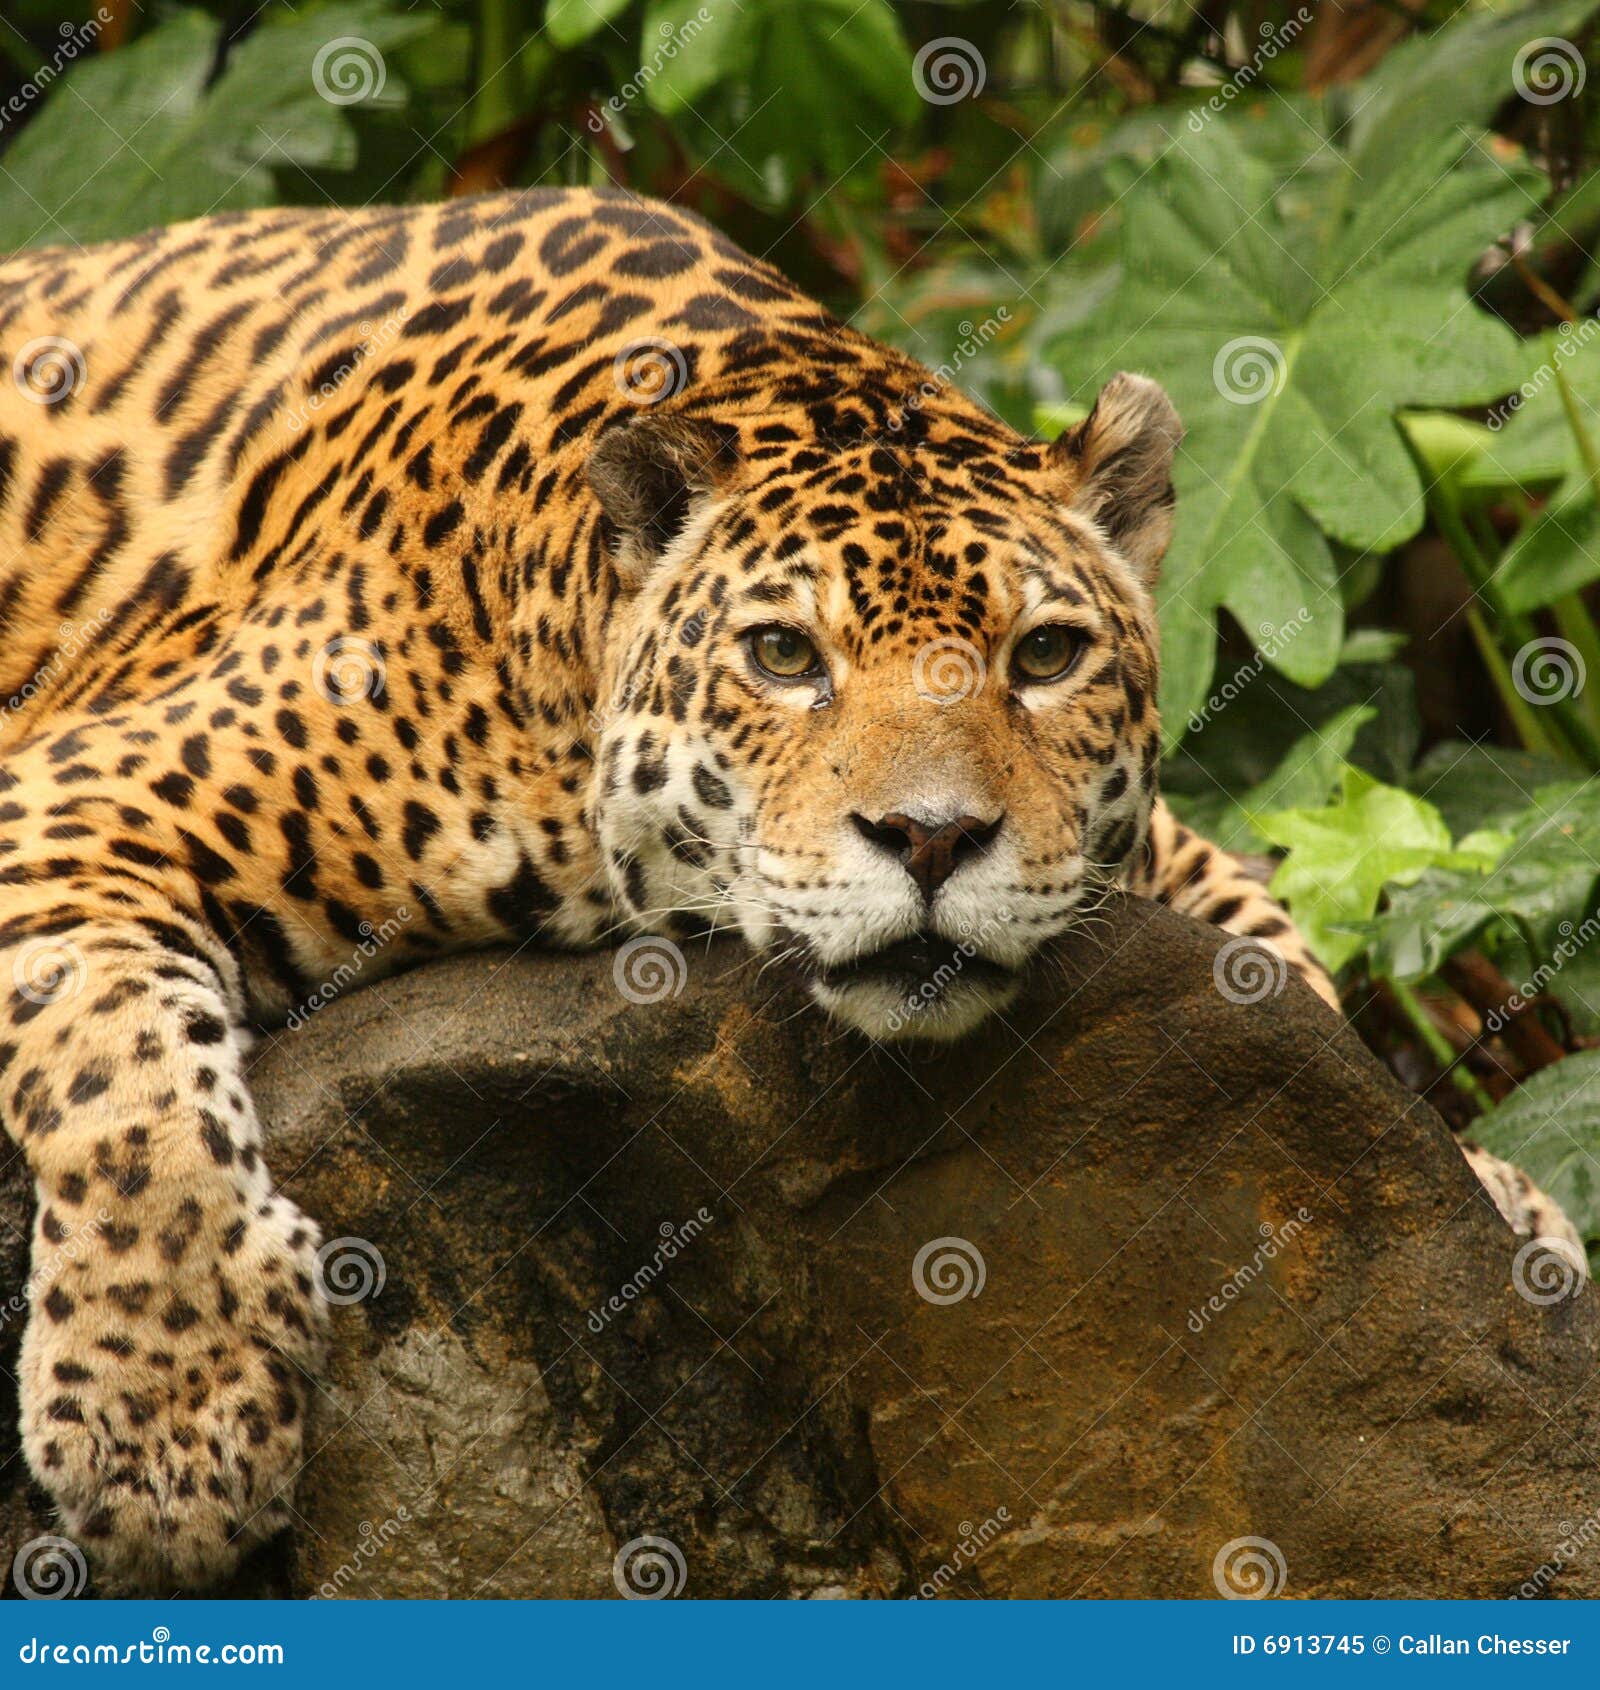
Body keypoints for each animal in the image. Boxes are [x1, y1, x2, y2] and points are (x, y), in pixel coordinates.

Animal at [0, 186, 1578, 1591]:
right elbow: (117, 1079)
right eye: (781, 655)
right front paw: (170, 1418)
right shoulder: (74, 791)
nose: (932, 837)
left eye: (1045, 655)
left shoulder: (1155, 849)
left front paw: (1500, 1200)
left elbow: (1285, 957)